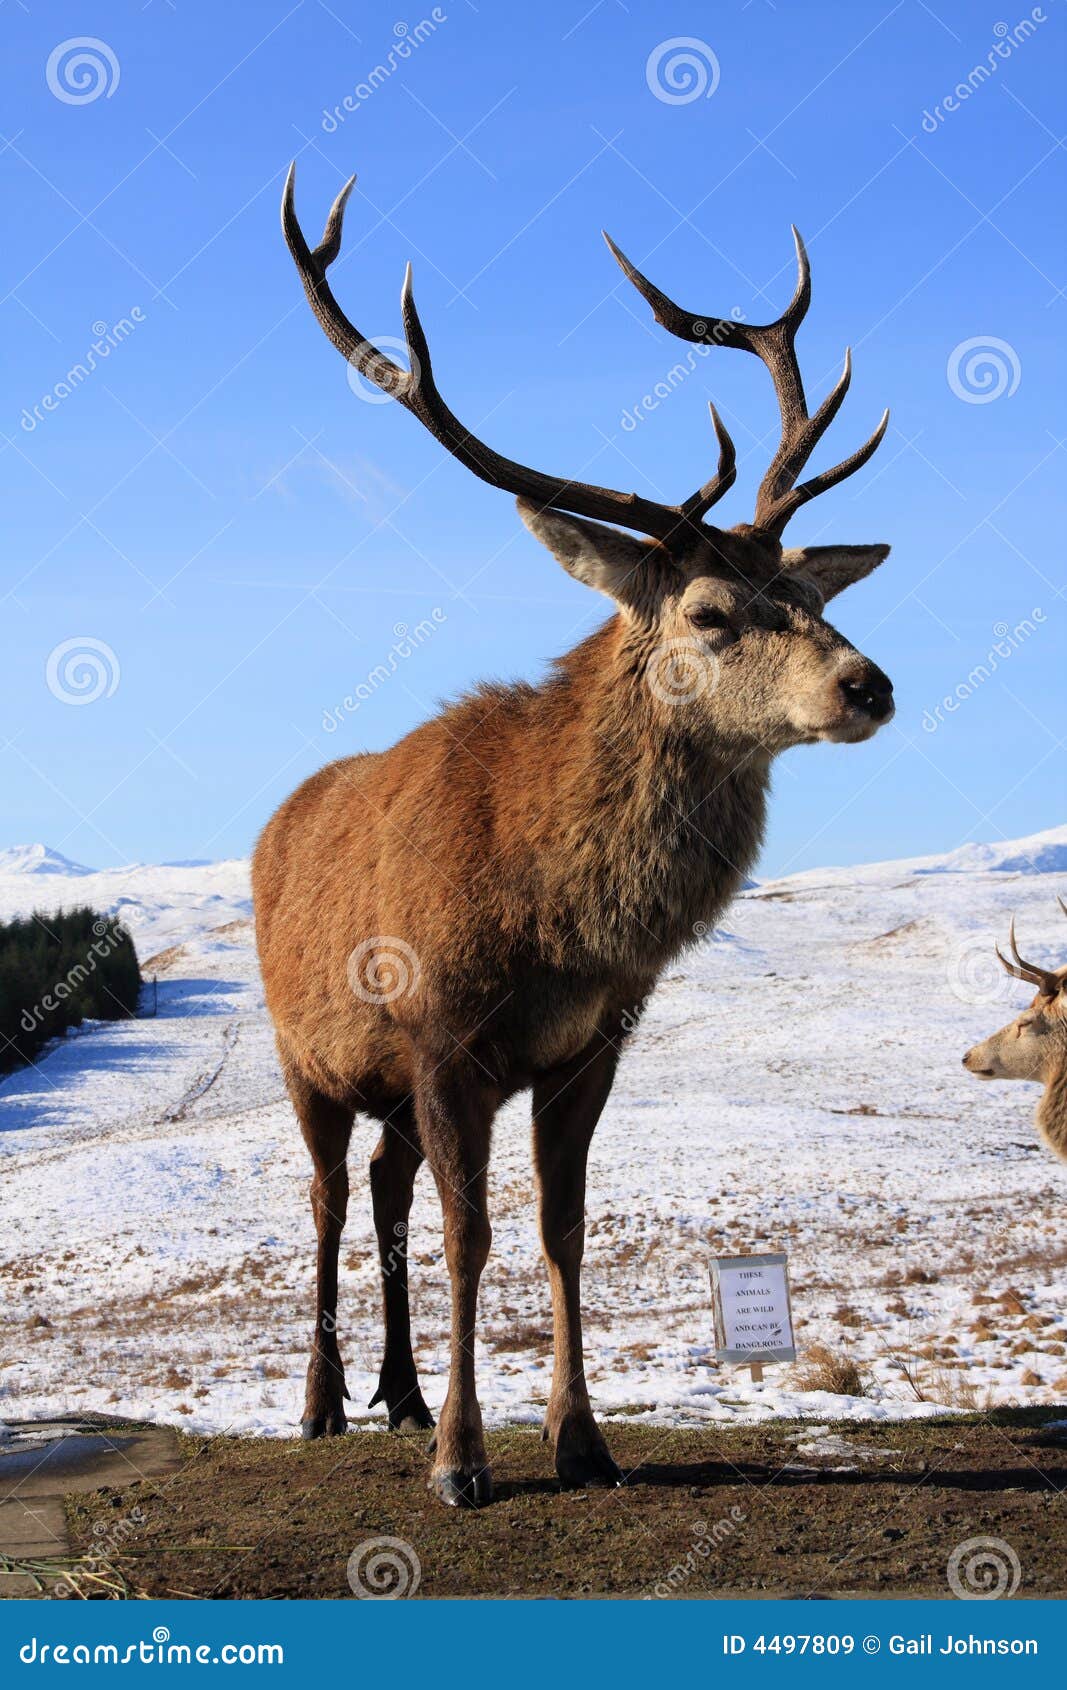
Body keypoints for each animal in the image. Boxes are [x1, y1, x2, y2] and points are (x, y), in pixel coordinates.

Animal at [252, 164, 896, 1508]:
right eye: (707, 612)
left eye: (809, 595)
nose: (865, 684)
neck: (555, 921)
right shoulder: (440, 1036)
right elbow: (474, 1232)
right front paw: (461, 1461)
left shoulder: (589, 1046)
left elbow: (560, 1228)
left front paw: (579, 1440)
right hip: (309, 1057)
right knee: (330, 1197)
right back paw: (325, 1403)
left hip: (386, 1088)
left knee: (382, 1191)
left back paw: (393, 1394)